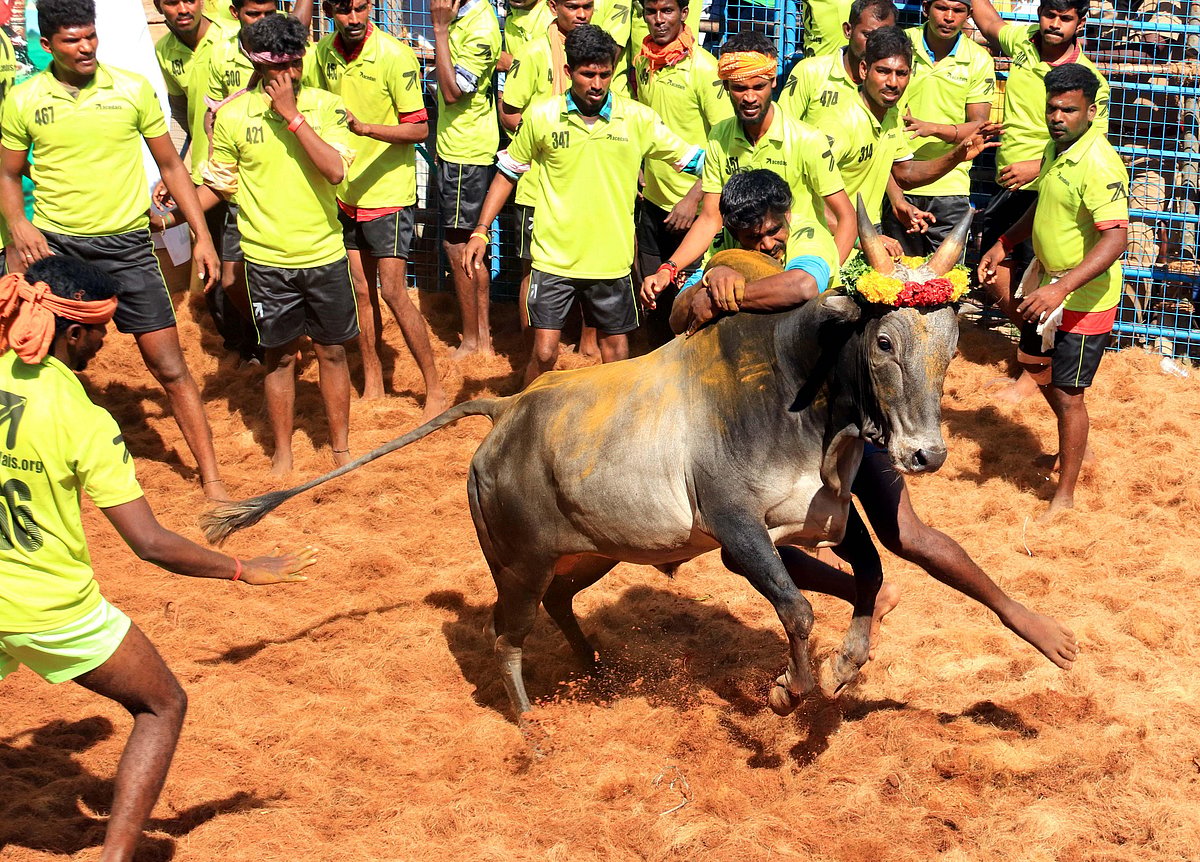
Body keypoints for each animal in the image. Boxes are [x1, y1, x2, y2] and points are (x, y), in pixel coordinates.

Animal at [202, 211, 964, 728]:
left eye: (951, 345)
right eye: (885, 341)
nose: (924, 454)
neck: (794, 389)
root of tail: (505, 410)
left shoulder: (825, 517)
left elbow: (870, 575)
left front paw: (845, 666)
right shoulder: (738, 531)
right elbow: (797, 608)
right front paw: (787, 690)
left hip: (593, 552)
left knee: (558, 605)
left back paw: (597, 668)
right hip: (519, 563)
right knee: (506, 635)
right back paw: (531, 727)